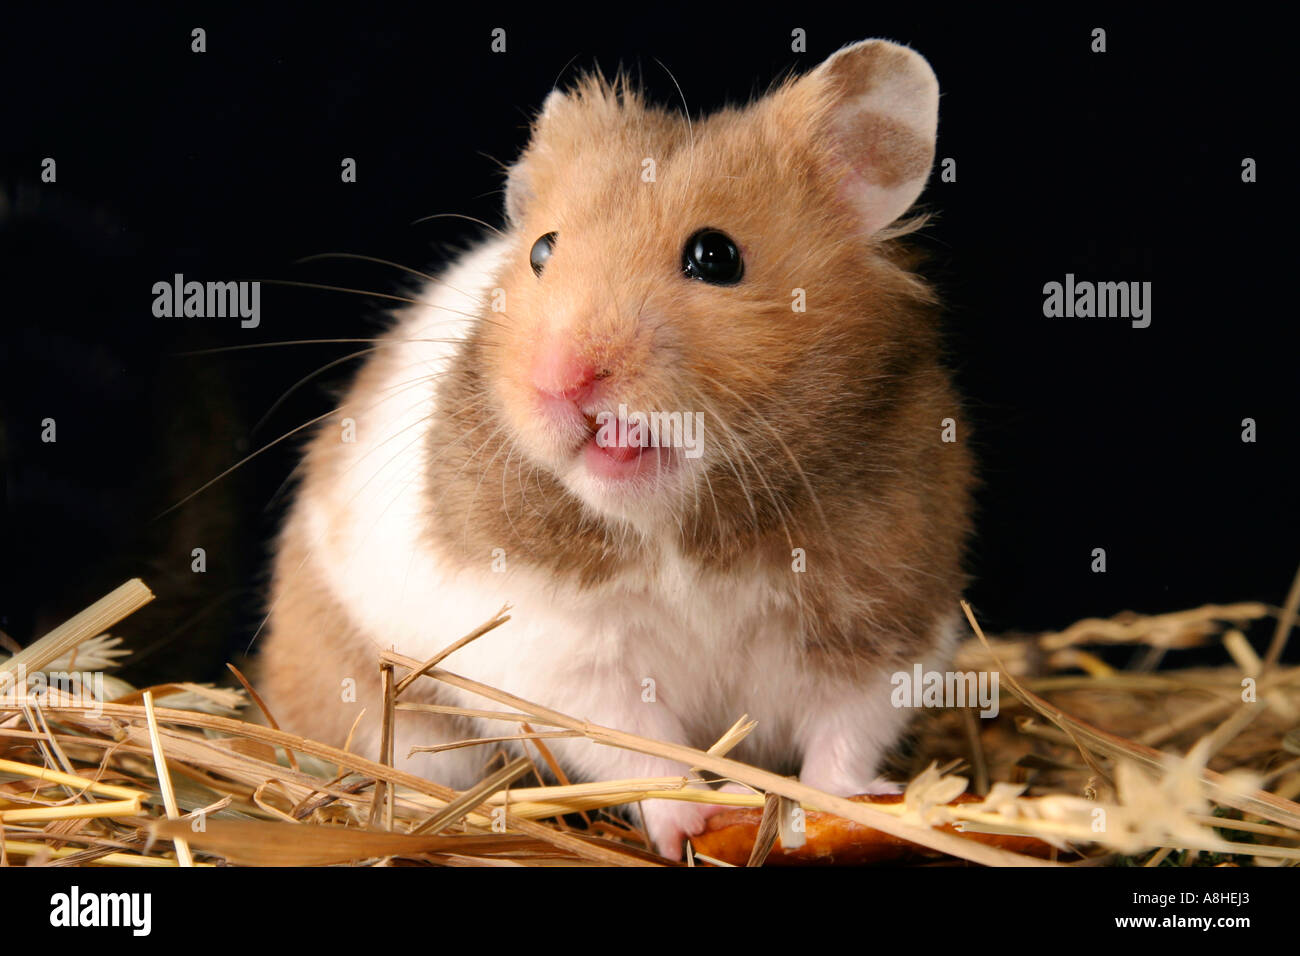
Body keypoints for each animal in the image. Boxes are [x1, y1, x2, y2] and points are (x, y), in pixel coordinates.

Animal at [257, 38, 973, 860]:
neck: (685, 528)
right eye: (541, 251)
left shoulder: (887, 618)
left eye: (716, 256)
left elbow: (846, 733)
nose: (559, 380)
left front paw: (848, 806)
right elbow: (631, 742)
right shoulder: (553, 651)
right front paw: (696, 814)